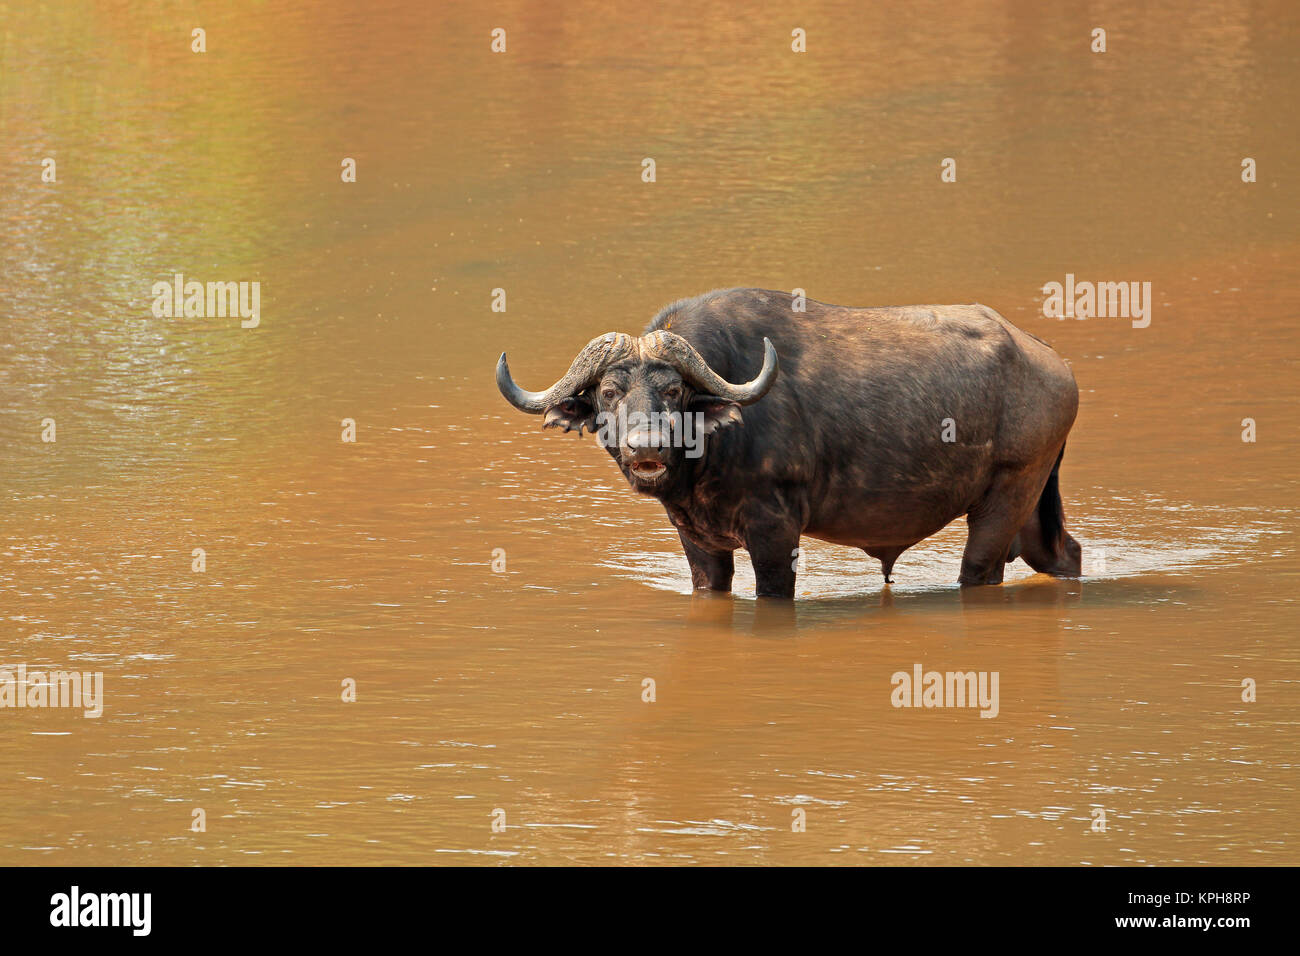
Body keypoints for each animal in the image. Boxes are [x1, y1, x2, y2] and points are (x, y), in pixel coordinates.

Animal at [496, 288, 1082, 598]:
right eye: (610, 392)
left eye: (673, 389)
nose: (647, 447)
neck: (710, 457)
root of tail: (1051, 362)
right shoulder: (698, 542)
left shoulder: (776, 533)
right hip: (1029, 505)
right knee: (1064, 553)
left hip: (1009, 494)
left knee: (980, 569)